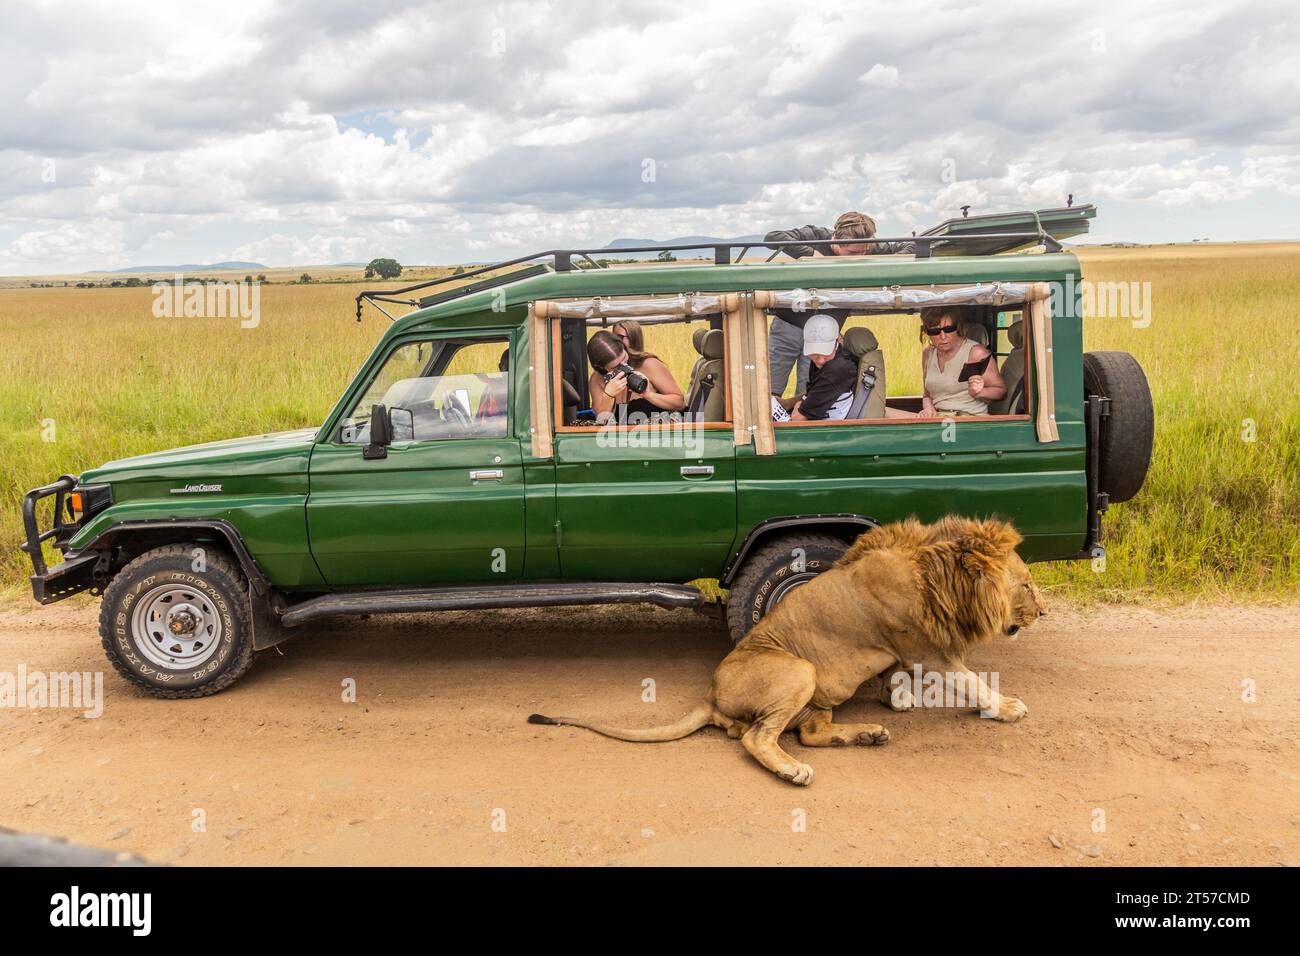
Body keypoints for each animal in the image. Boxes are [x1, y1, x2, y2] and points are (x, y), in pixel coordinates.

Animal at [529, 515, 1048, 786]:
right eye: (1025, 584)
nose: (1043, 612)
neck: (932, 573)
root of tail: (710, 697)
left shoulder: (905, 646)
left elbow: (901, 673)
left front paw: (896, 698)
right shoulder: (929, 649)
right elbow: (972, 682)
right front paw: (1008, 707)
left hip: (818, 692)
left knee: (810, 732)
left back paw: (866, 734)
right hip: (800, 671)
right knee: (758, 739)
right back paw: (794, 770)